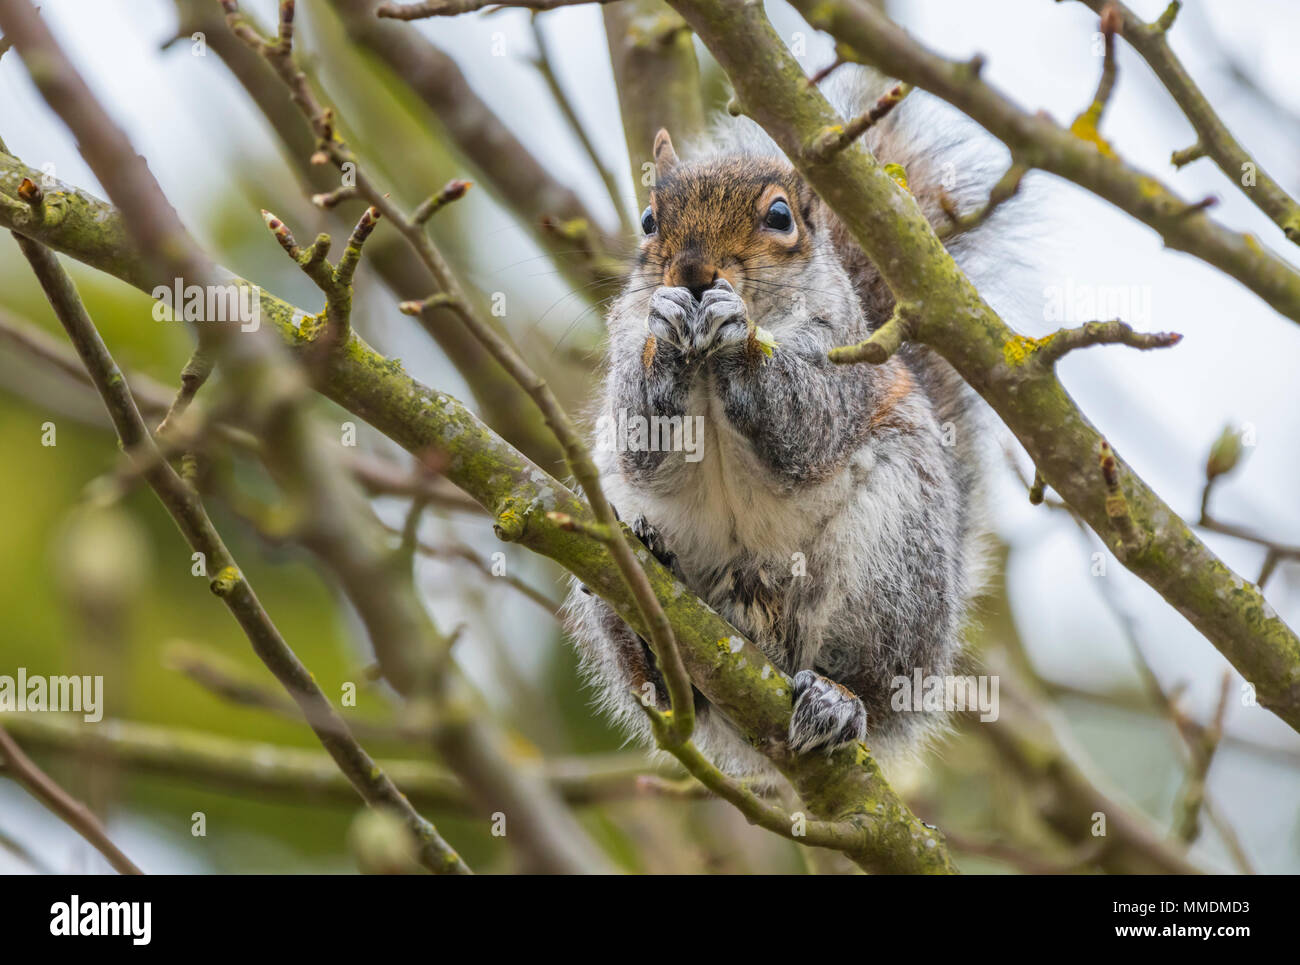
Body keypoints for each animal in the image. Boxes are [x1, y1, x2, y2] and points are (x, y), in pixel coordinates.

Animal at [565, 71, 1003, 776]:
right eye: (649, 220)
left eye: (779, 217)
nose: (693, 271)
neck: (704, 368)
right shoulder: (625, 350)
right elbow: (640, 436)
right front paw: (669, 326)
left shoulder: (841, 359)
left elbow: (807, 421)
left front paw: (738, 332)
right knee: (664, 684)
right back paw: (655, 627)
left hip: (894, 567)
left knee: (869, 682)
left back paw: (837, 700)